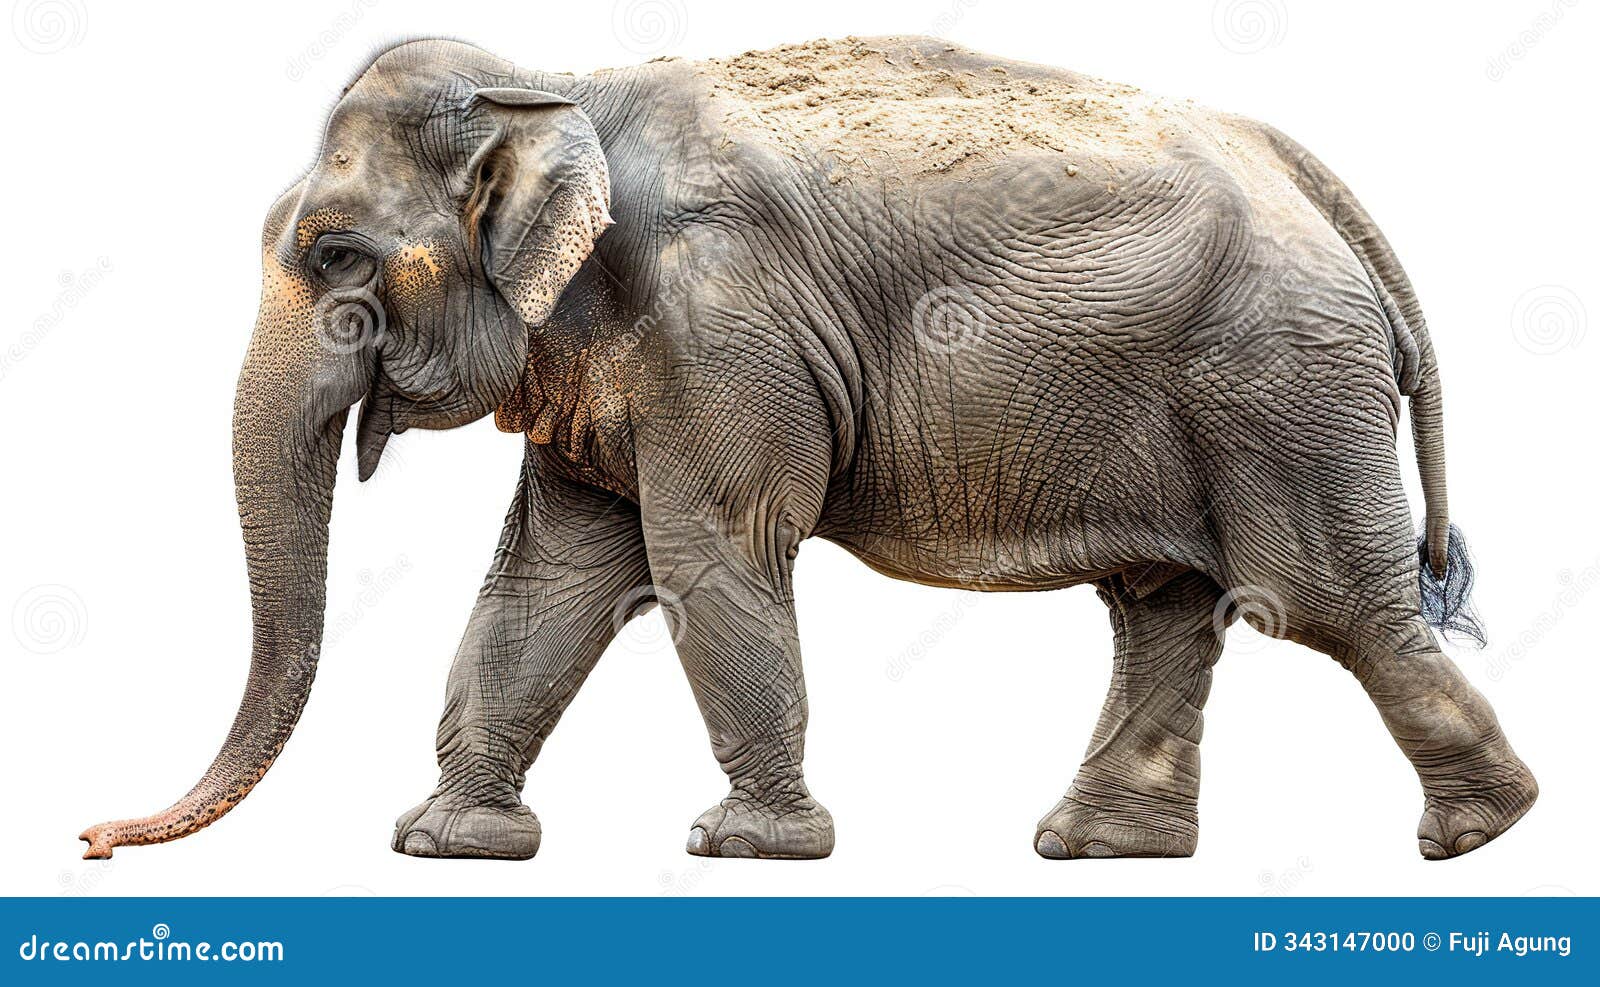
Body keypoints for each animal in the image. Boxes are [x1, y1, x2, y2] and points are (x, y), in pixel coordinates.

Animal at [81, 35, 1536, 863]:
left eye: (335, 256)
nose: (94, 840)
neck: (558, 83)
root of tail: (1314, 179)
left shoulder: (721, 324)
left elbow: (707, 551)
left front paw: (744, 848)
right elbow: (550, 578)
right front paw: (445, 846)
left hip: (1282, 382)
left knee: (1319, 600)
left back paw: (1477, 835)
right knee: (1167, 607)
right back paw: (1094, 849)